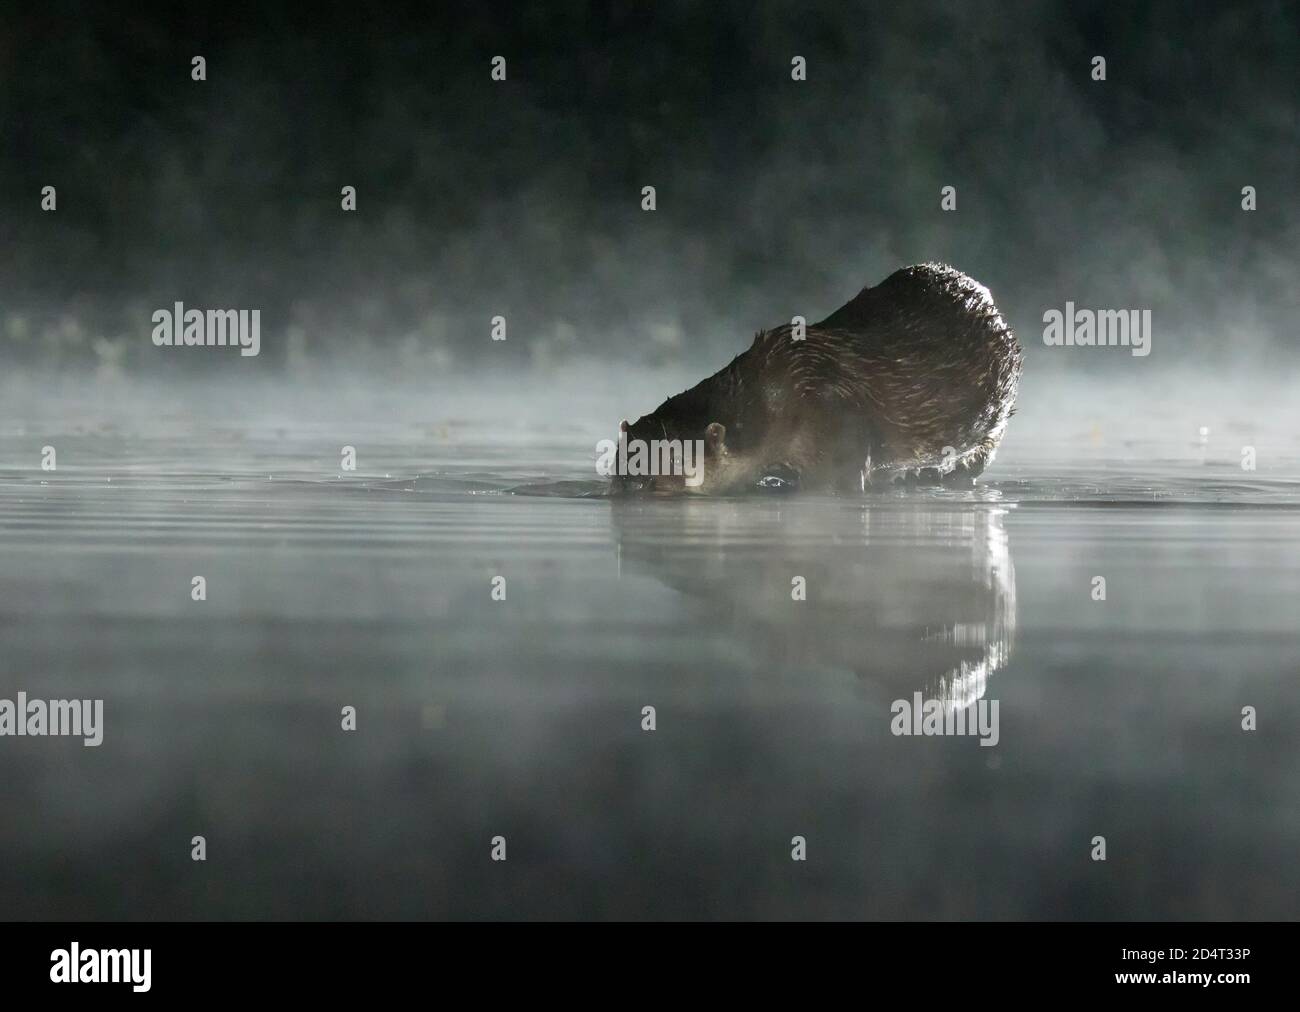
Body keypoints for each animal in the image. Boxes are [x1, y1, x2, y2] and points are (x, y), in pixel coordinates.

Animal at [610, 262, 1022, 495]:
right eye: (623, 455)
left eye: (672, 461)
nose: (632, 481)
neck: (780, 399)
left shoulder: (836, 420)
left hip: (993, 429)